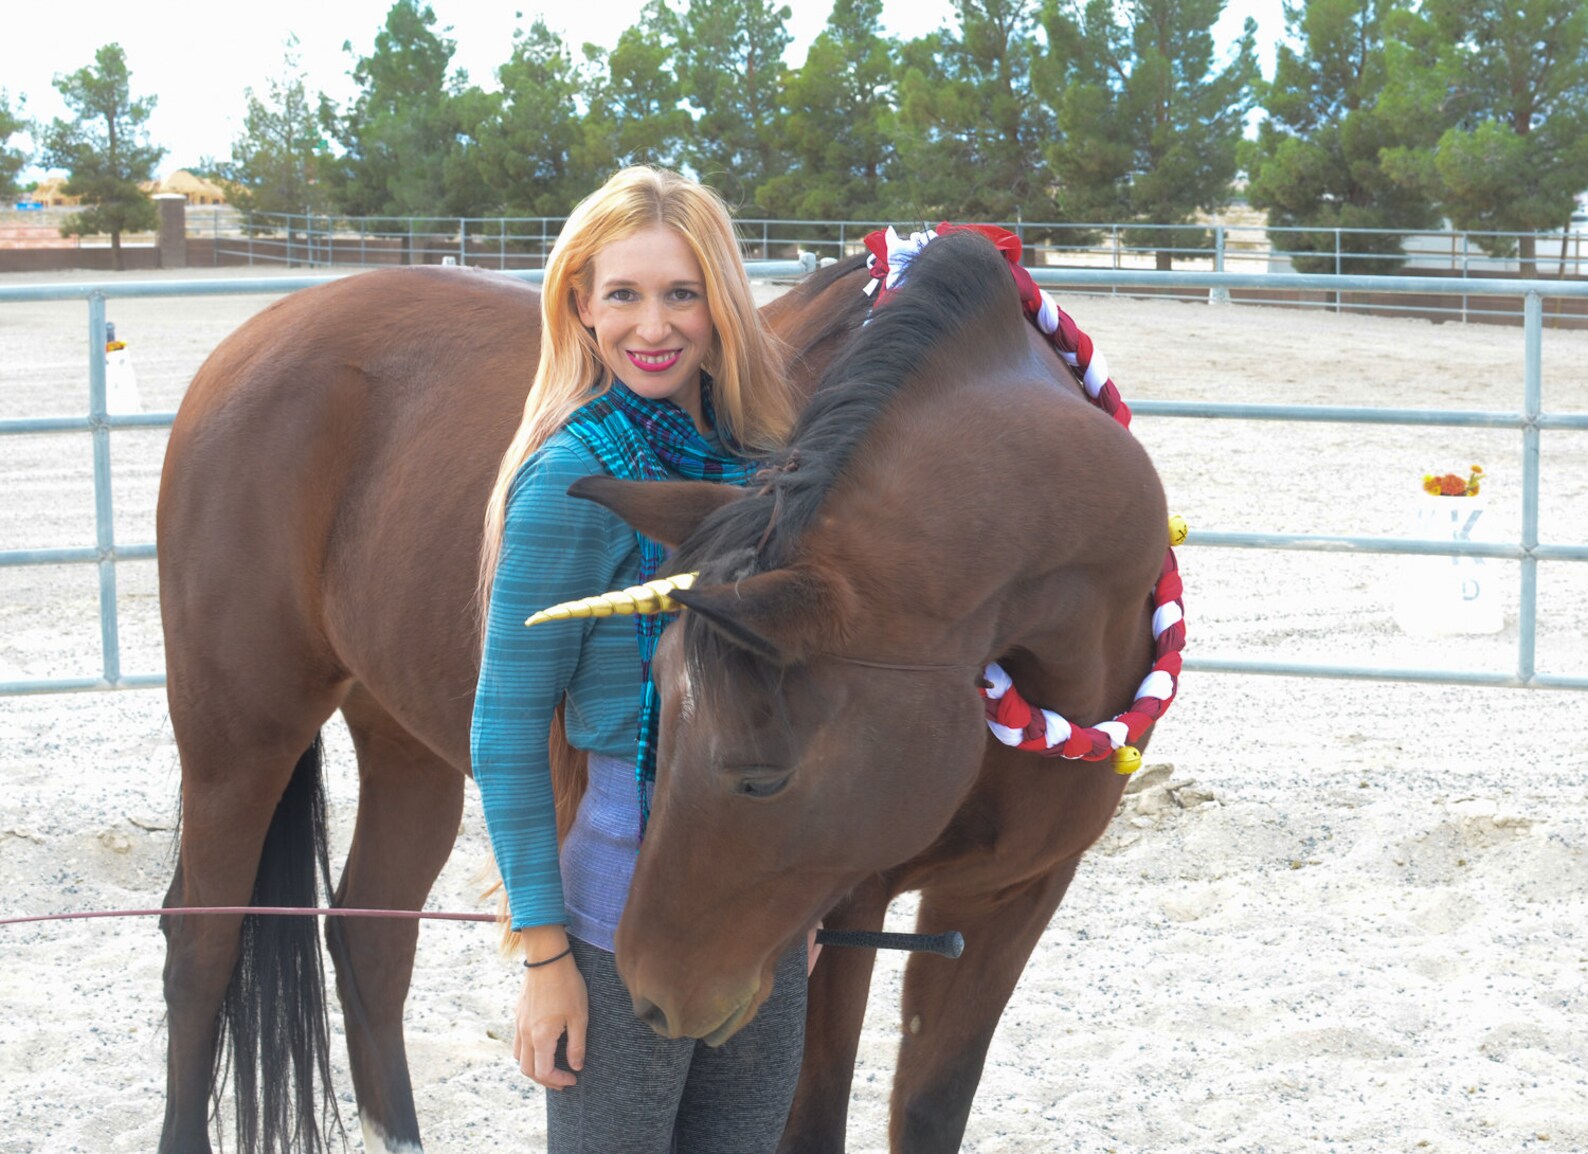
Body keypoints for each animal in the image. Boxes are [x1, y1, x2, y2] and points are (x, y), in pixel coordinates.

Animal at [155, 228, 1170, 1154]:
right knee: (200, 947)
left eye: (760, 777)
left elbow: (929, 1108)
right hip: (239, 740)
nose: (653, 991)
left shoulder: (1009, 898)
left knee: (370, 935)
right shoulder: (839, 915)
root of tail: (260, 339)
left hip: (408, 746)